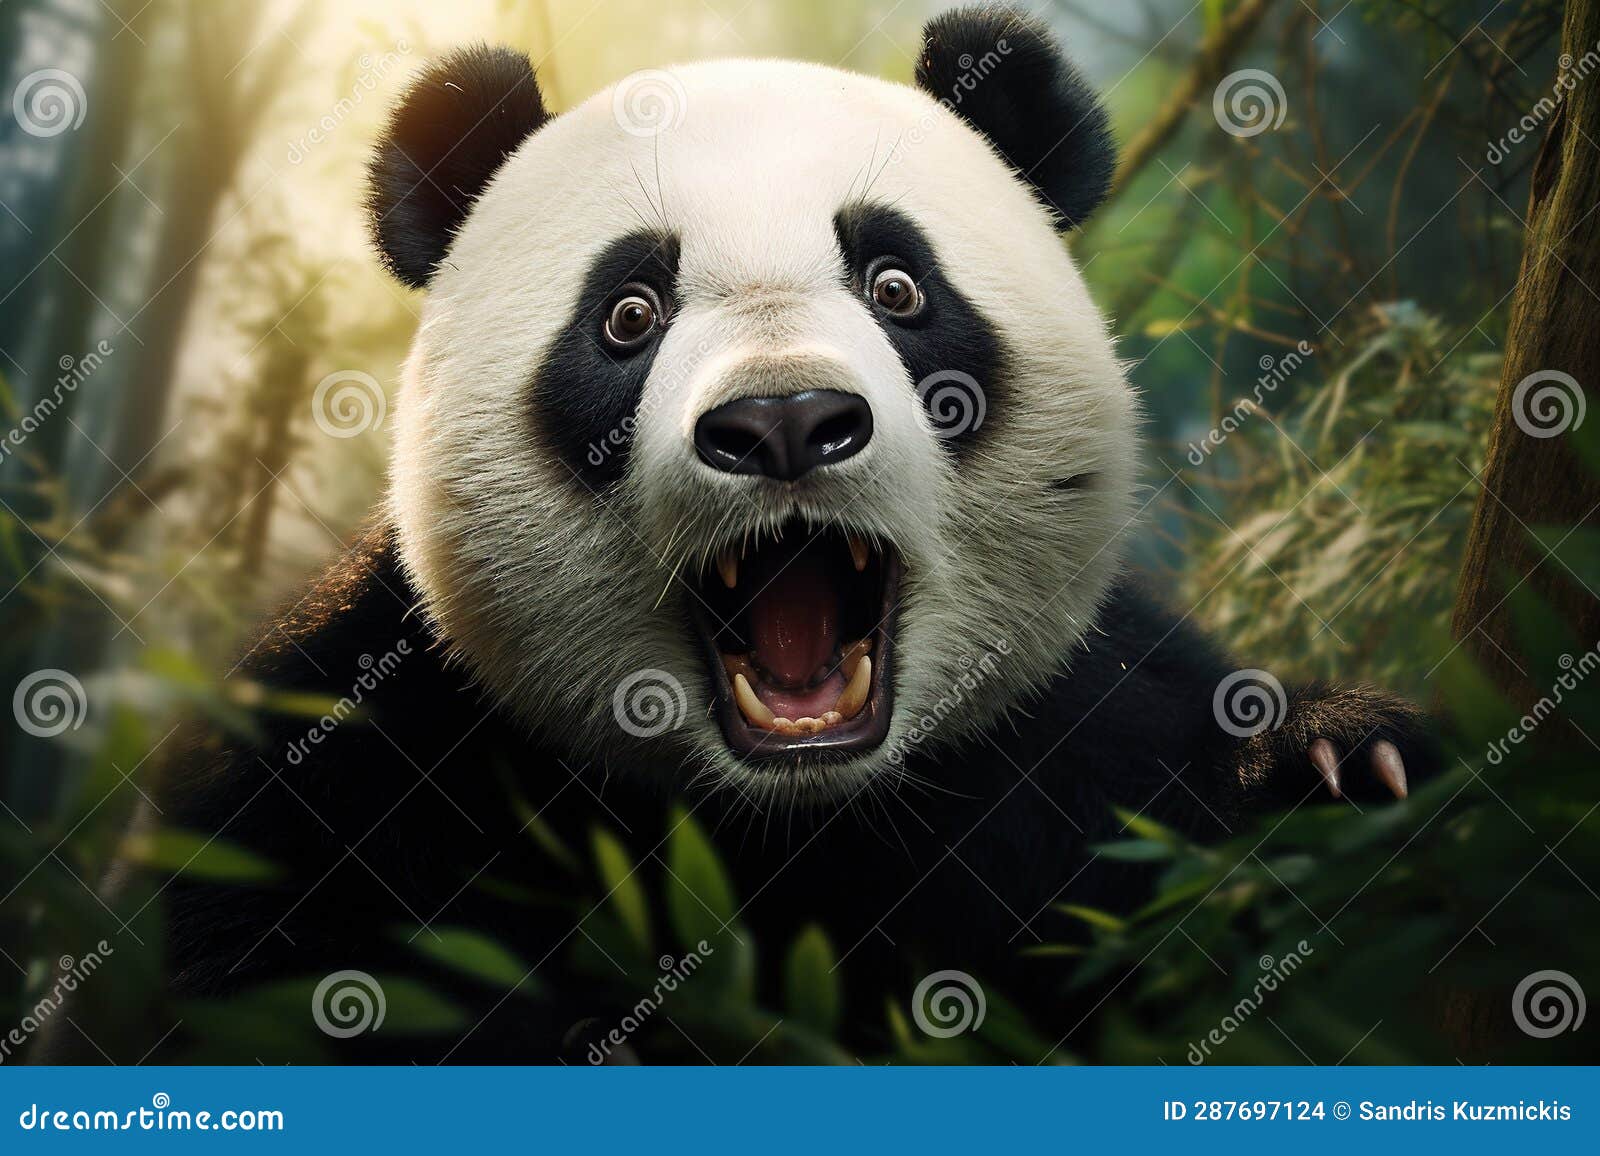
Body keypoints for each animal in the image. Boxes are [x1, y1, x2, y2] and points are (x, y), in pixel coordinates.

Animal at [139, 6, 1433, 1063]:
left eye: (897, 285)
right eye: (628, 313)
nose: (783, 422)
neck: (789, 816)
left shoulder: (1083, 746)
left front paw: (1336, 762)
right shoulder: (363, 763)